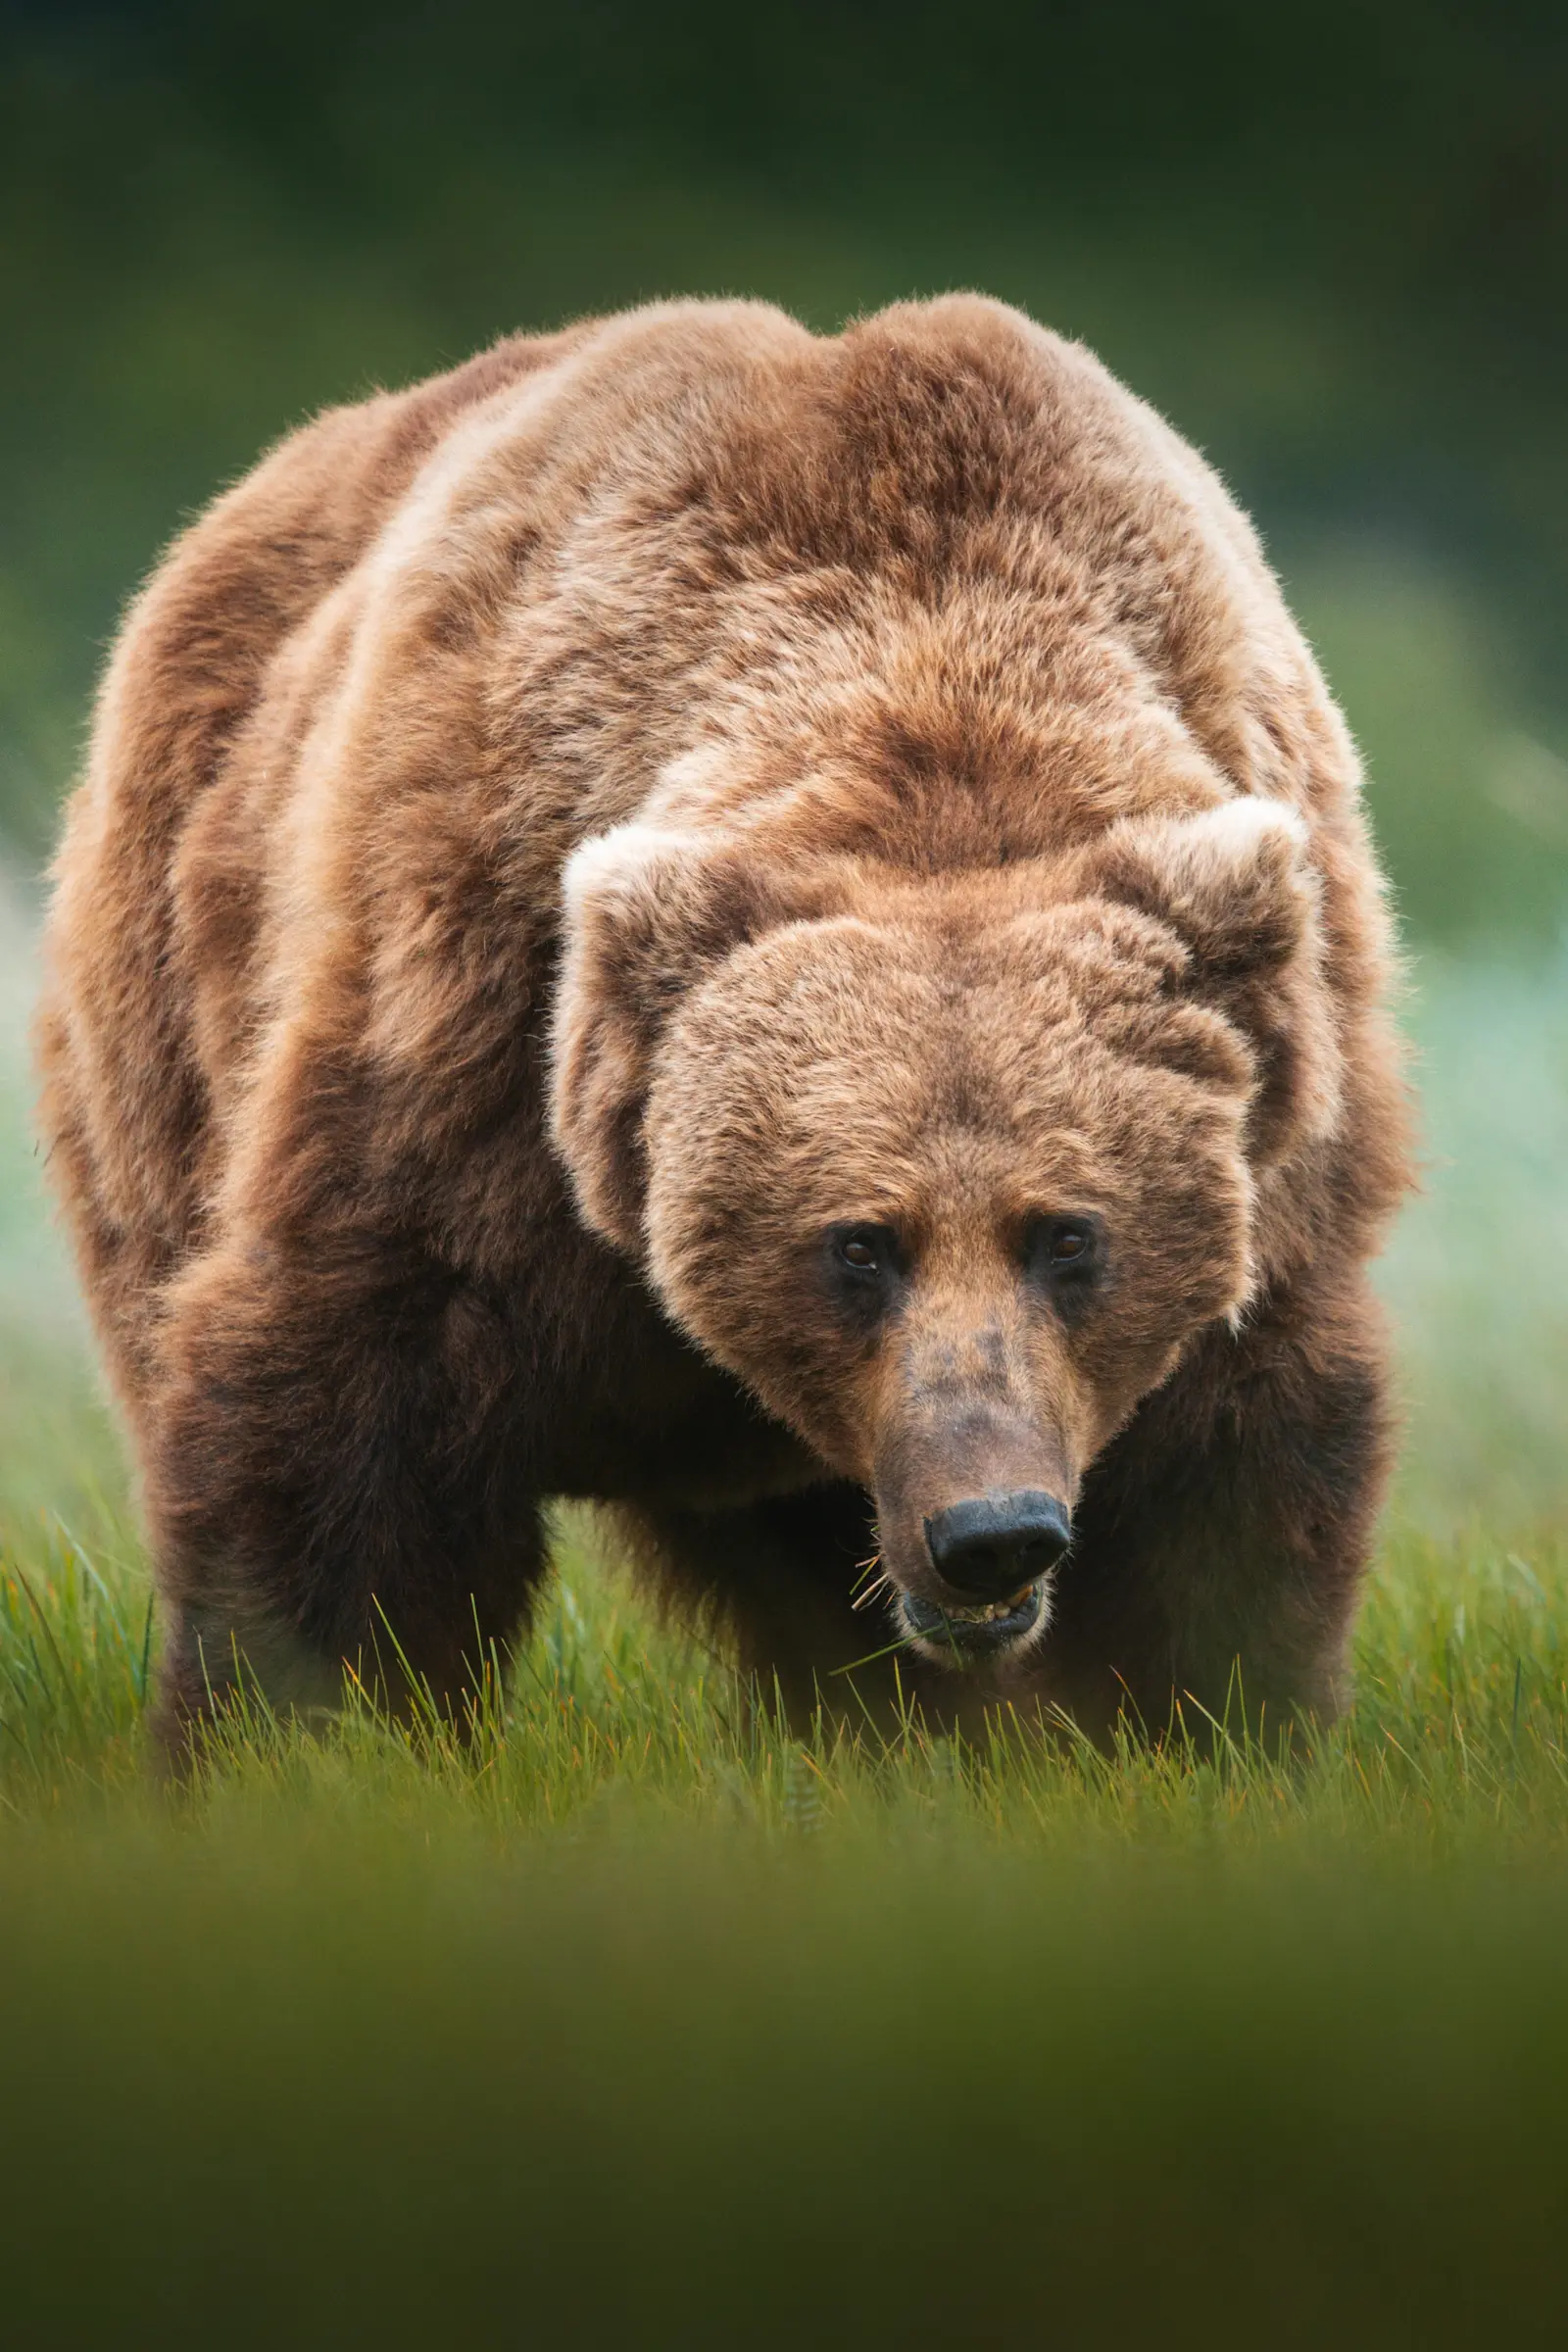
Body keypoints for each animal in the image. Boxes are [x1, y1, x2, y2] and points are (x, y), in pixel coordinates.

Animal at [35, 295, 1411, 1760]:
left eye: (1069, 1236)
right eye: (858, 1243)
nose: (993, 1533)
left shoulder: (1284, 1129)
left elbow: (1228, 1486)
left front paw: (1208, 1729)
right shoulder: (471, 1026)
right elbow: (346, 1418)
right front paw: (304, 1734)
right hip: (165, 1015)